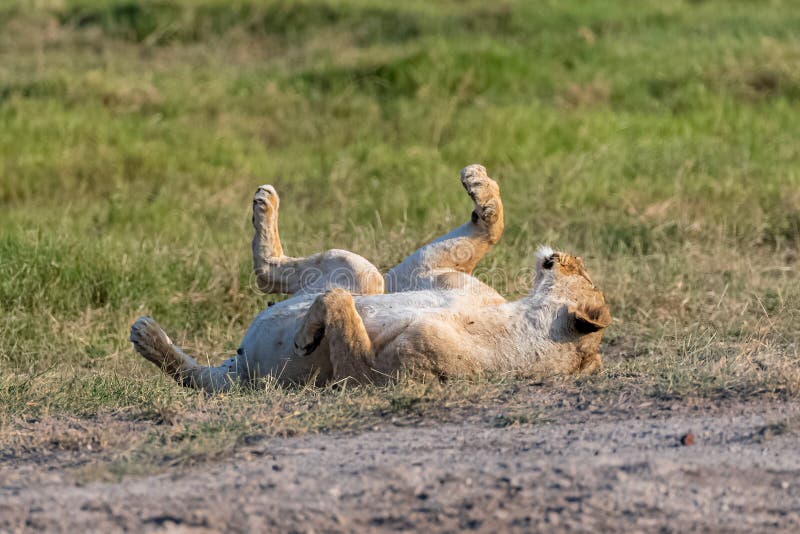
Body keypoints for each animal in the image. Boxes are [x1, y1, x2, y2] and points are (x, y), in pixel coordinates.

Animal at [130, 165, 611, 392]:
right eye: (586, 271)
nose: (569, 256)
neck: (516, 316)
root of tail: (237, 363)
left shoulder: (379, 375)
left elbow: (338, 306)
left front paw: (307, 337)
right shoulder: (428, 275)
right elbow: (489, 228)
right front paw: (480, 186)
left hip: (254, 373)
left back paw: (144, 335)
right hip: (368, 274)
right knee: (277, 274)